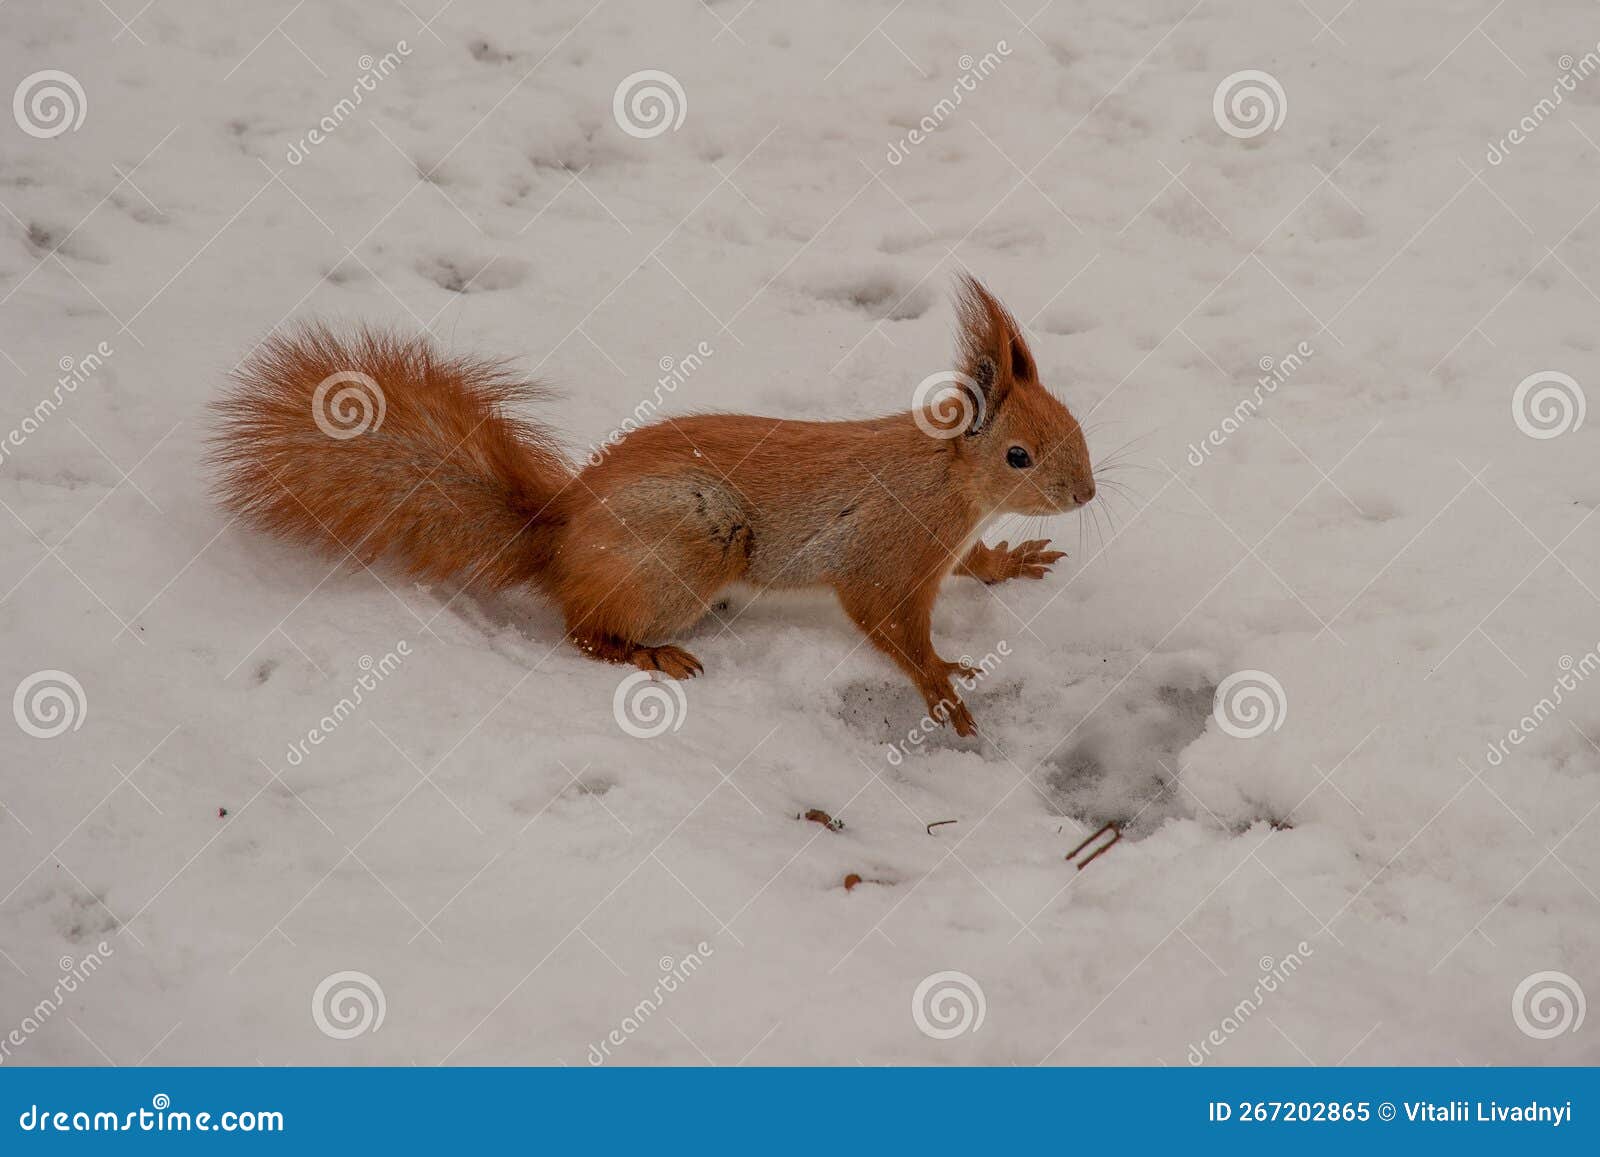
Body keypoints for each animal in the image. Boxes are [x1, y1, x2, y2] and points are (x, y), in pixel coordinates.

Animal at [209, 275, 1095, 736]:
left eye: (1077, 423)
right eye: (1018, 455)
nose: (1086, 492)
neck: (949, 483)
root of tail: (561, 535)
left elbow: (976, 563)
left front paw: (1011, 560)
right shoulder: (888, 552)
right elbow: (891, 627)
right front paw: (942, 684)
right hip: (694, 544)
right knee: (582, 629)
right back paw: (649, 654)